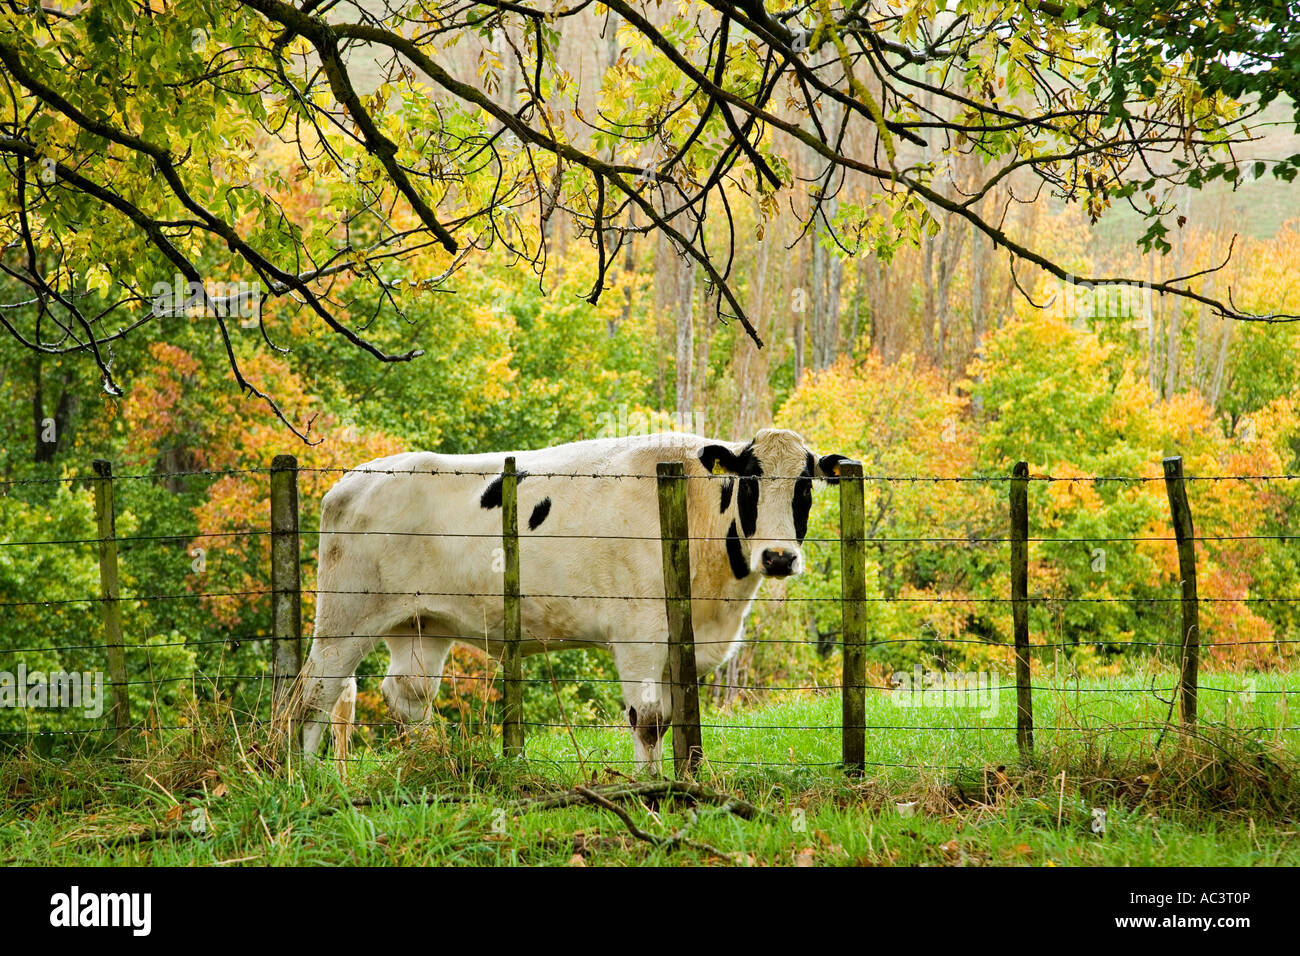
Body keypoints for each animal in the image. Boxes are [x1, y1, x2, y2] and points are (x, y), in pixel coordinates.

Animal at [292, 427, 848, 773]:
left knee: (407, 694)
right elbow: (649, 721)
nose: (778, 557)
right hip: (346, 614)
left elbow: (678, 720)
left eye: (805, 488)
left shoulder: (683, 644)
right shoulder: (639, 634)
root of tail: (351, 480)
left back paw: (438, 763)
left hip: (421, 622)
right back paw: (304, 777)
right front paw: (649, 789)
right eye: (749, 482)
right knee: (315, 693)